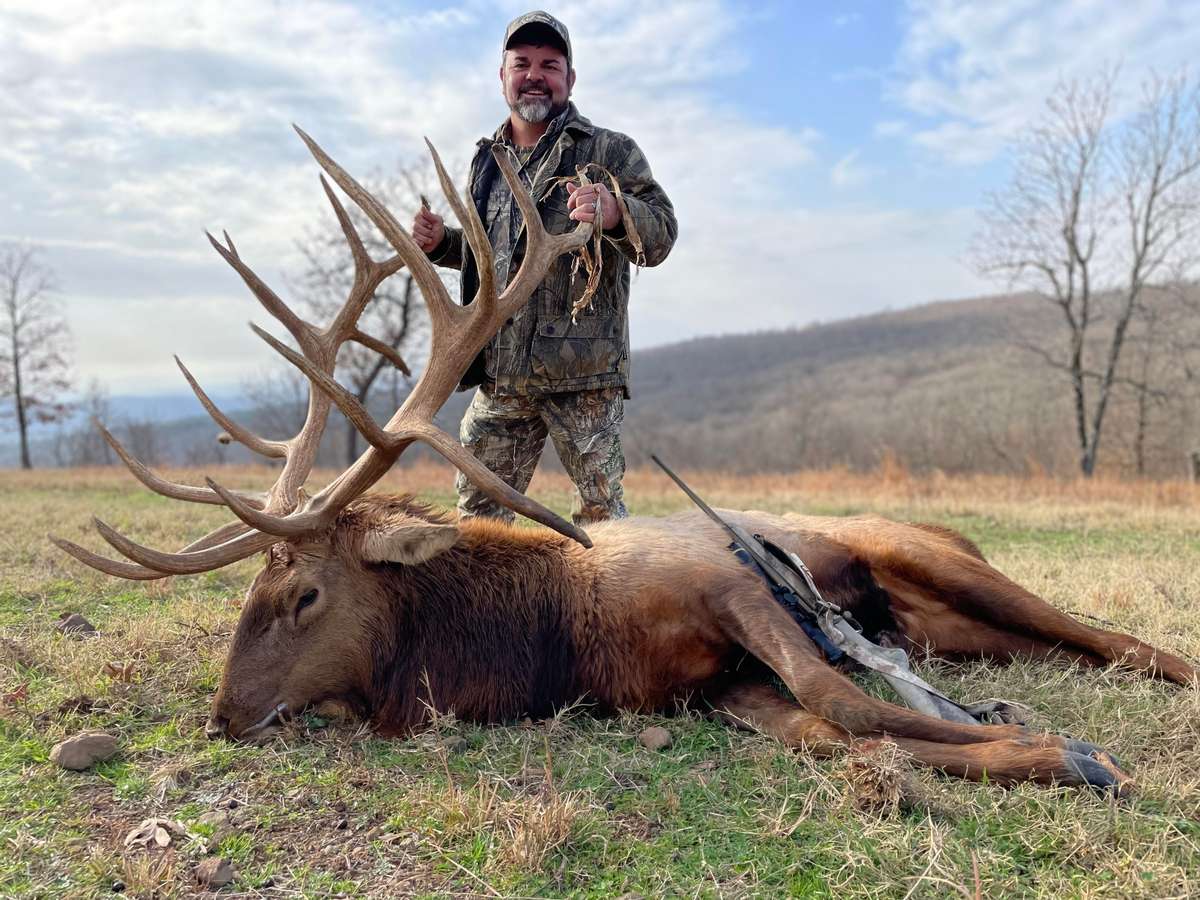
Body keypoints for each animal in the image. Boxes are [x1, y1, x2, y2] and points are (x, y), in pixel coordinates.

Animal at [51, 128, 1196, 795]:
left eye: (303, 596)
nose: (224, 715)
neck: (553, 642)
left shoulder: (733, 586)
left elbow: (847, 703)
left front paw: (1071, 755)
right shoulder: (717, 690)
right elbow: (840, 728)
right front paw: (1029, 752)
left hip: (939, 562)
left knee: (1117, 639)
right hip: (946, 626)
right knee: (1053, 650)